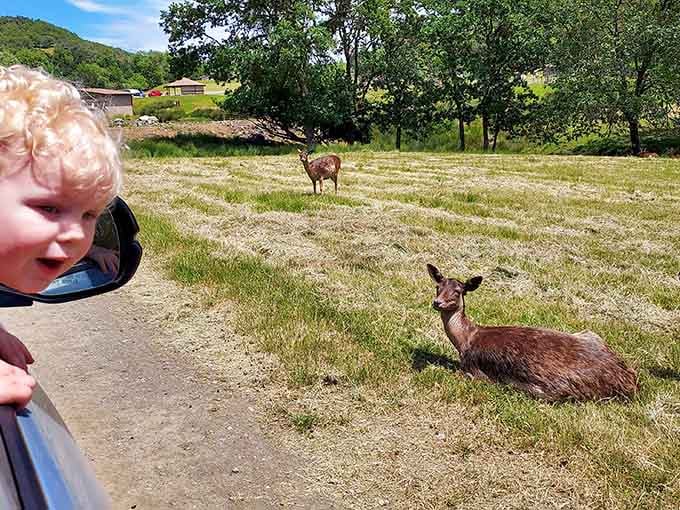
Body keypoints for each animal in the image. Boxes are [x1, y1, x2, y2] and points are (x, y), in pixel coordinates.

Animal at [427, 264, 639, 402]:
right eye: (438, 286)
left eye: (458, 291)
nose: (437, 302)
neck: (466, 340)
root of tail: (632, 381)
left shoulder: (474, 370)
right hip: (591, 334)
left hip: (549, 390)